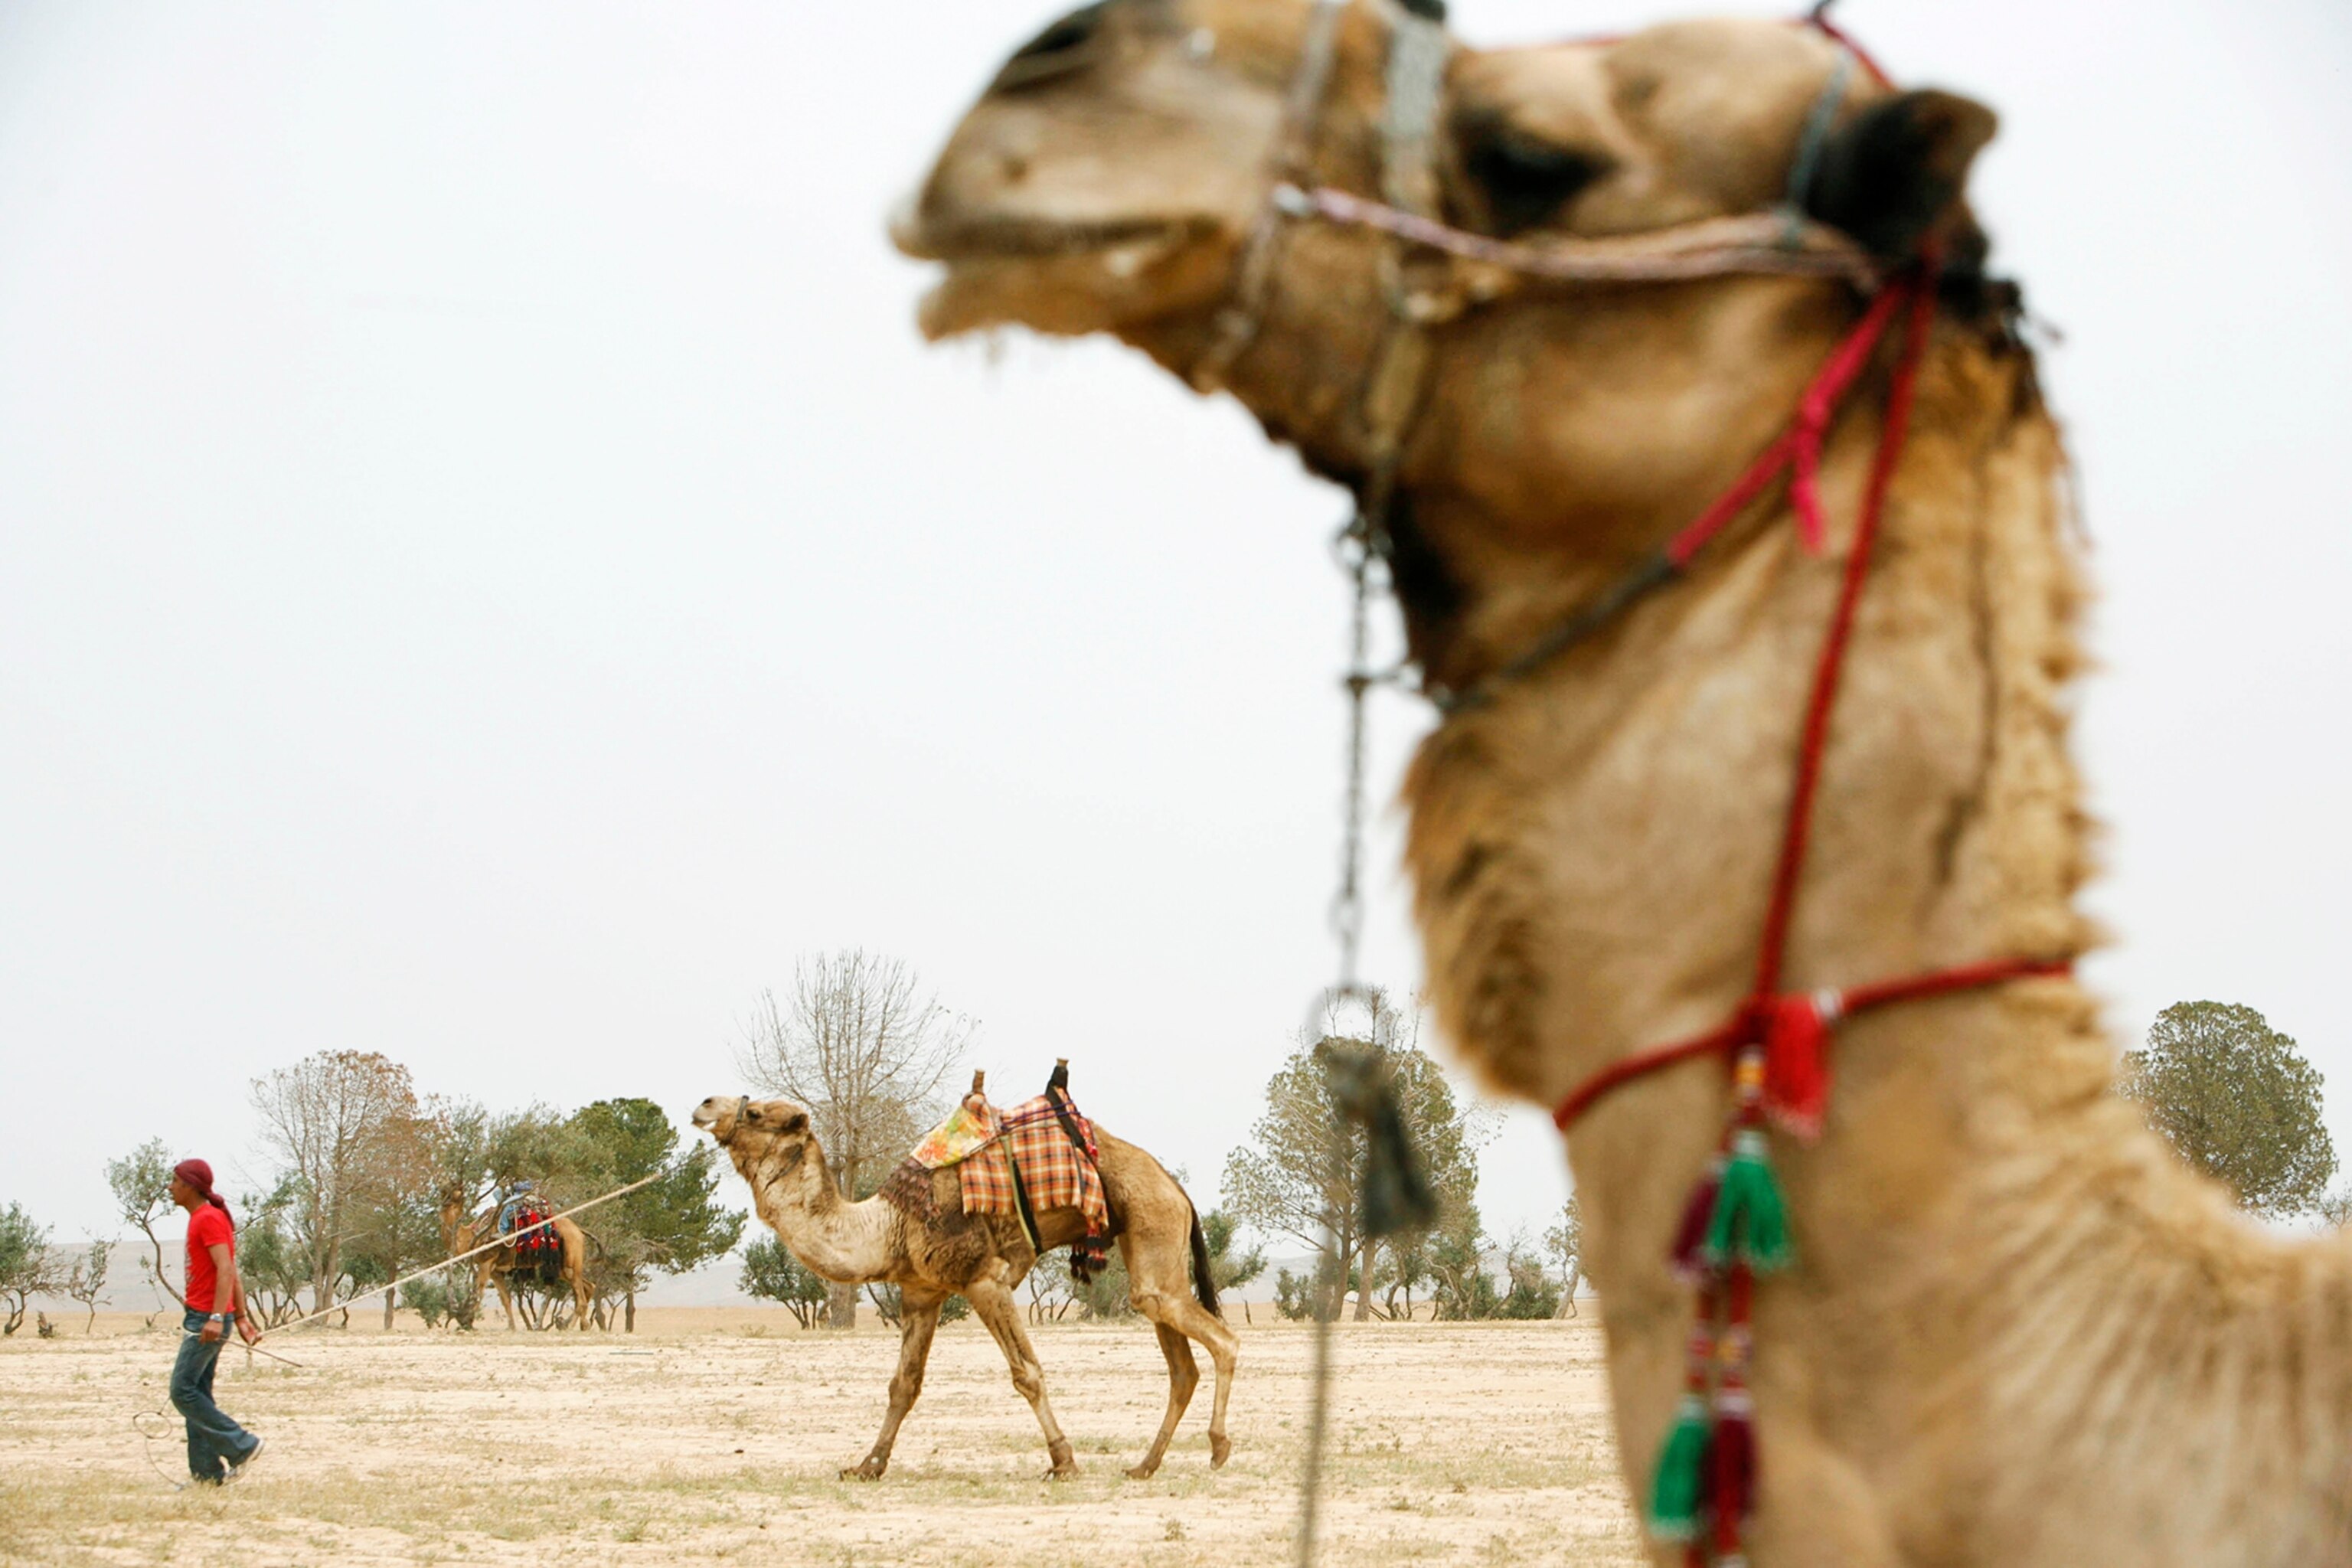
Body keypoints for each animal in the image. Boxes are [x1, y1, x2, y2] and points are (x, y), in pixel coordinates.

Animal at [438, 1189, 596, 1332]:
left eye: (454, 1194)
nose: (444, 1201)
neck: (471, 1236)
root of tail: (579, 1231)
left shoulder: (486, 1262)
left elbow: (478, 1294)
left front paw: (465, 1324)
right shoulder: (495, 1270)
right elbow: (505, 1298)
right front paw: (511, 1327)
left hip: (571, 1256)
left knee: (581, 1297)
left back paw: (570, 1326)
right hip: (563, 1266)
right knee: (589, 1286)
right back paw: (583, 1325)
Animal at [691, 1093, 1236, 1481]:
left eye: (755, 1111)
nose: (704, 1105)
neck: (890, 1223)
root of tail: (1178, 1188)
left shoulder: (985, 1279)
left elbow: (1027, 1374)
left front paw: (1062, 1461)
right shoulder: (920, 1292)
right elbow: (903, 1385)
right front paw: (868, 1465)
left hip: (1151, 1221)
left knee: (1222, 1339)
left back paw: (1218, 1447)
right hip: (1146, 1246)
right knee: (1180, 1364)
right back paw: (1145, 1465)